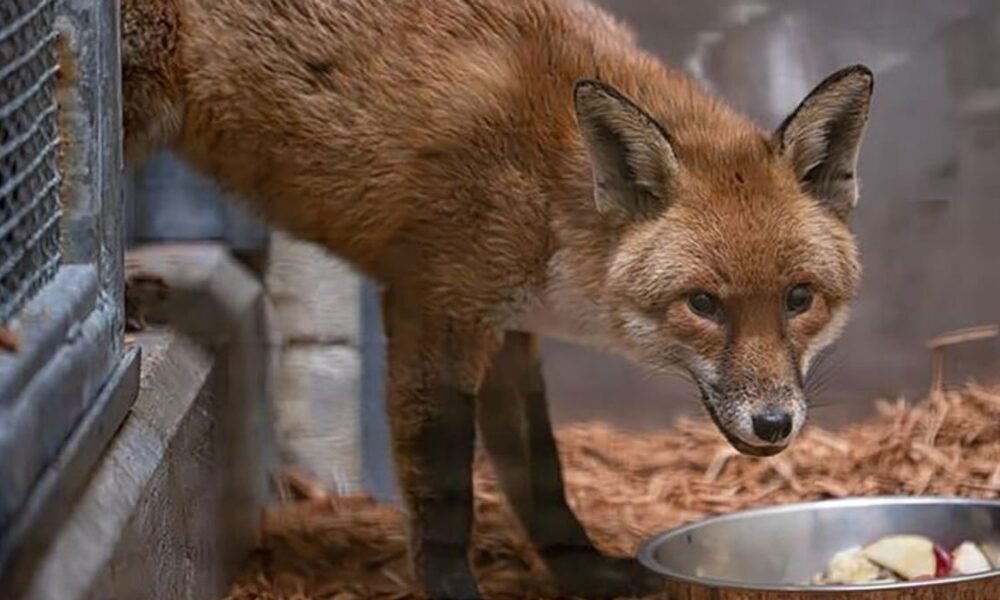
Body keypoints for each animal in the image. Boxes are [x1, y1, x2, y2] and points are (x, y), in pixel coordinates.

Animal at [119, 0, 873, 597]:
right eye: (704, 304)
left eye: (799, 298)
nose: (774, 424)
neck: (549, 187)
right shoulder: (434, 308)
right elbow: (445, 489)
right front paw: (454, 589)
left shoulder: (511, 329)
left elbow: (541, 474)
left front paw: (584, 572)